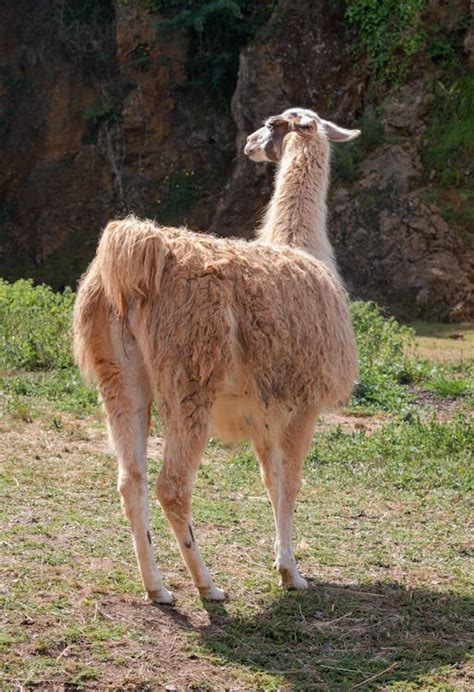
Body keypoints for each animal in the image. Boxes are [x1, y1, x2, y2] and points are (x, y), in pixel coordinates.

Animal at [73, 108, 360, 604]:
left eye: (271, 124)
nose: (249, 143)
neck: (302, 247)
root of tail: (137, 249)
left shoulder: (264, 410)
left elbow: (271, 481)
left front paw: (282, 564)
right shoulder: (306, 400)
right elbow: (292, 483)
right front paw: (293, 573)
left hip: (120, 377)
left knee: (131, 480)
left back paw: (157, 588)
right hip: (190, 378)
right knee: (172, 485)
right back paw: (207, 585)